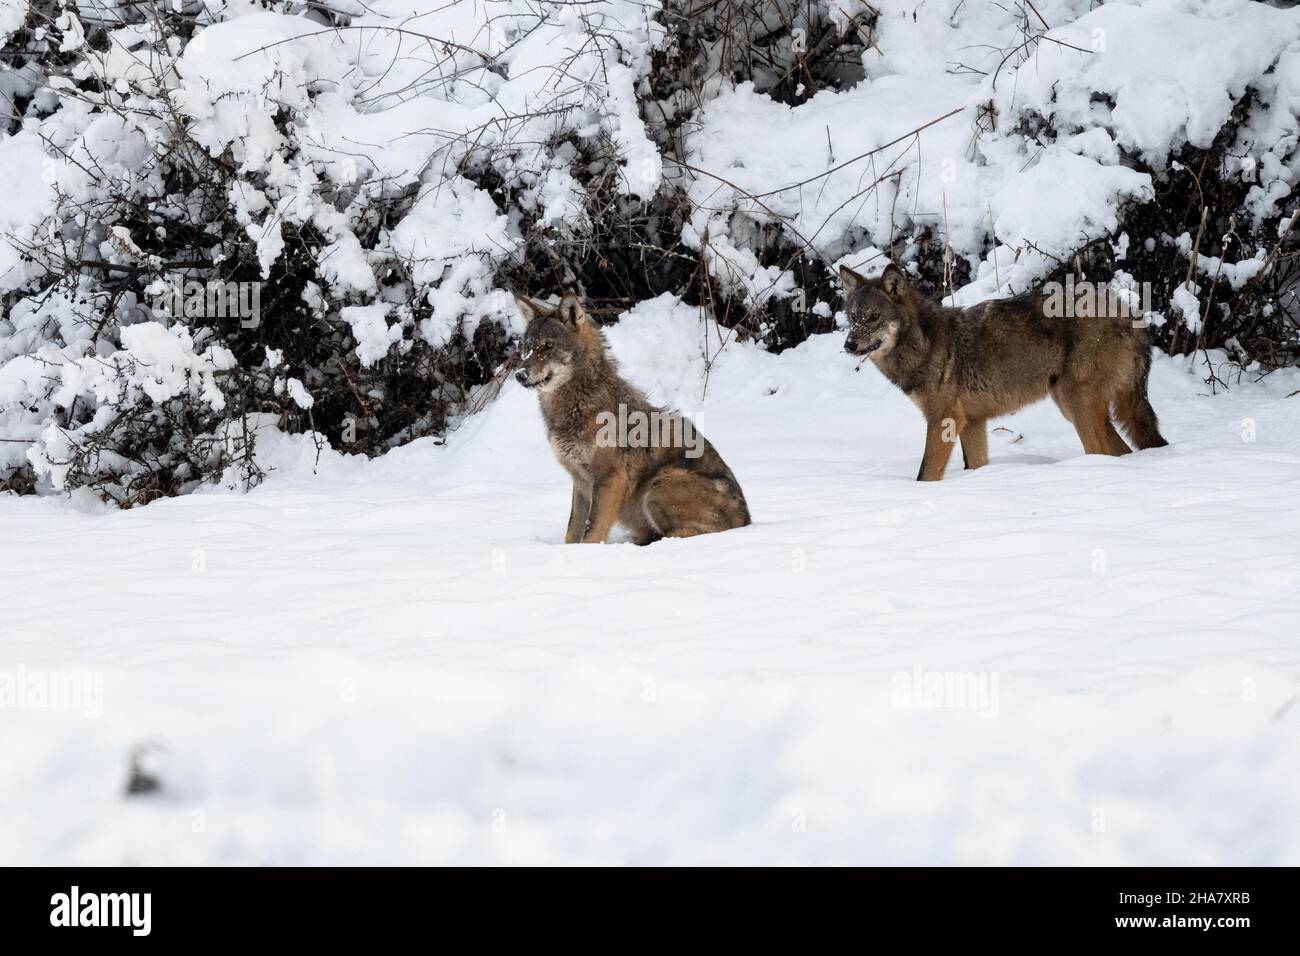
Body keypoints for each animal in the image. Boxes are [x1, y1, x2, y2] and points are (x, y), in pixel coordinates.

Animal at [514, 292, 751, 543]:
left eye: (548, 346)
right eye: (527, 348)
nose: (520, 374)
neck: (580, 403)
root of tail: (746, 520)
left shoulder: (610, 480)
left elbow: (592, 532)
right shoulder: (580, 481)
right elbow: (572, 532)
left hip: (659, 483)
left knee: (681, 535)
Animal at [841, 264, 1167, 481]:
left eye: (874, 317)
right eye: (853, 318)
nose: (849, 344)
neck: (925, 344)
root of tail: (1130, 314)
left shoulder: (944, 420)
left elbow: (925, 474)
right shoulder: (973, 423)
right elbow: (975, 464)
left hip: (1075, 404)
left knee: (1102, 452)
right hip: (1075, 407)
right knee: (1123, 451)